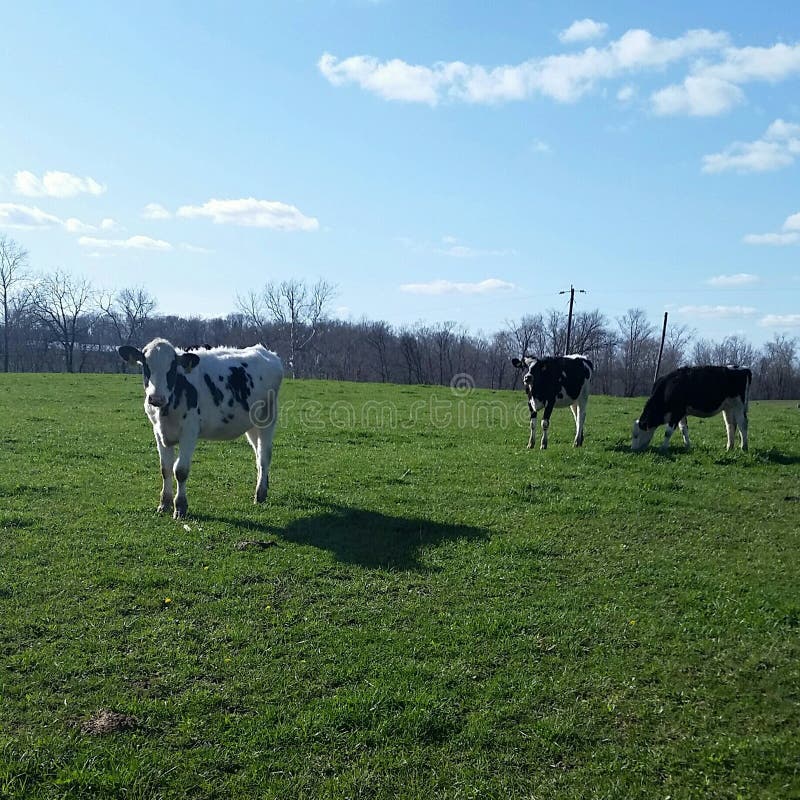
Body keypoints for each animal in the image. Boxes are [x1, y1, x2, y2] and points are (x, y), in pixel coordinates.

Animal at [118, 338, 283, 519]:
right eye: (146, 365)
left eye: (172, 367)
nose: (156, 398)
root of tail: (266, 352)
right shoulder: (158, 431)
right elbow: (165, 468)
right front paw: (164, 504)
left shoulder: (189, 431)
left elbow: (180, 470)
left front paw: (180, 507)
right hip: (250, 425)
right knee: (258, 454)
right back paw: (264, 486)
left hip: (267, 419)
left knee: (264, 456)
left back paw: (260, 493)